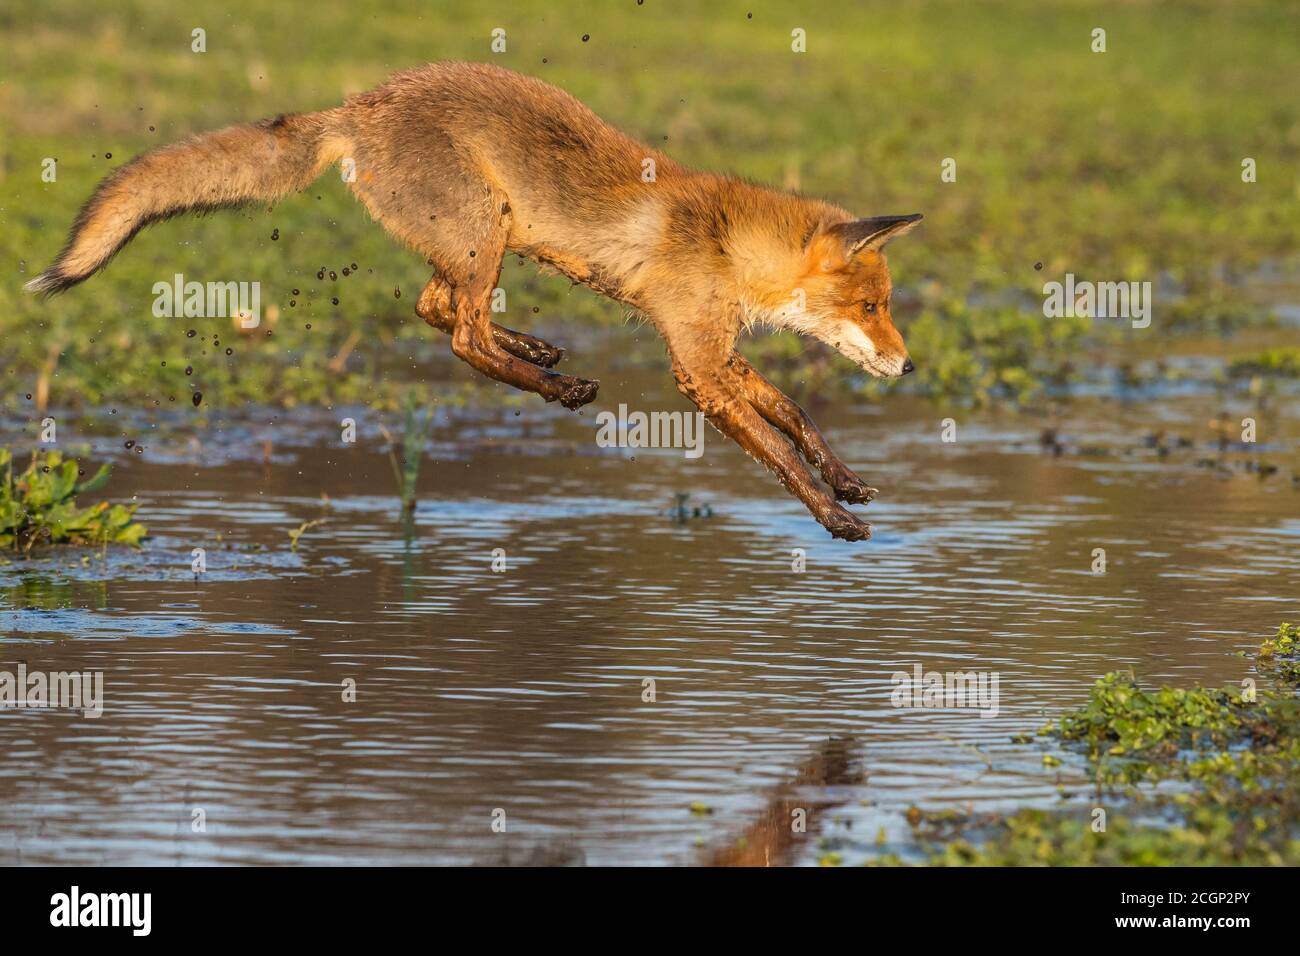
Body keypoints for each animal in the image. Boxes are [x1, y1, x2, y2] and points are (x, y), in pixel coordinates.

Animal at [26, 61, 922, 541]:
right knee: (462, 335)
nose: (910, 367)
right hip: (482, 231)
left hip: (475, 241)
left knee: (440, 313)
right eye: (873, 308)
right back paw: (561, 384)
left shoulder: (717, 349)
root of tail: (359, 105)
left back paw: (543, 355)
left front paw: (847, 482)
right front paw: (833, 520)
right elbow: (777, 454)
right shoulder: (696, 366)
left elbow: (797, 415)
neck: (725, 242)